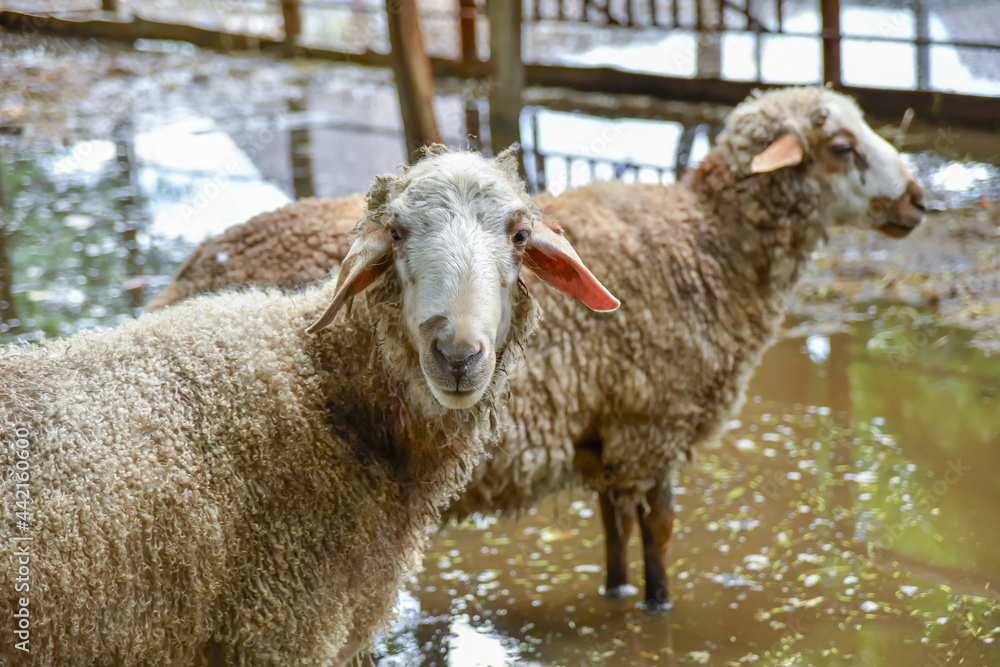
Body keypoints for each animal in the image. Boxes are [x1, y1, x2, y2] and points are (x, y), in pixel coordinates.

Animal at [146, 87, 926, 610]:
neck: (709, 244)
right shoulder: (653, 422)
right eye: (842, 149)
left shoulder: (608, 431)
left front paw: (617, 596)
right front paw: (657, 607)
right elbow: (660, 533)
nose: (919, 200)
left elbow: (614, 527)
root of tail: (185, 275)